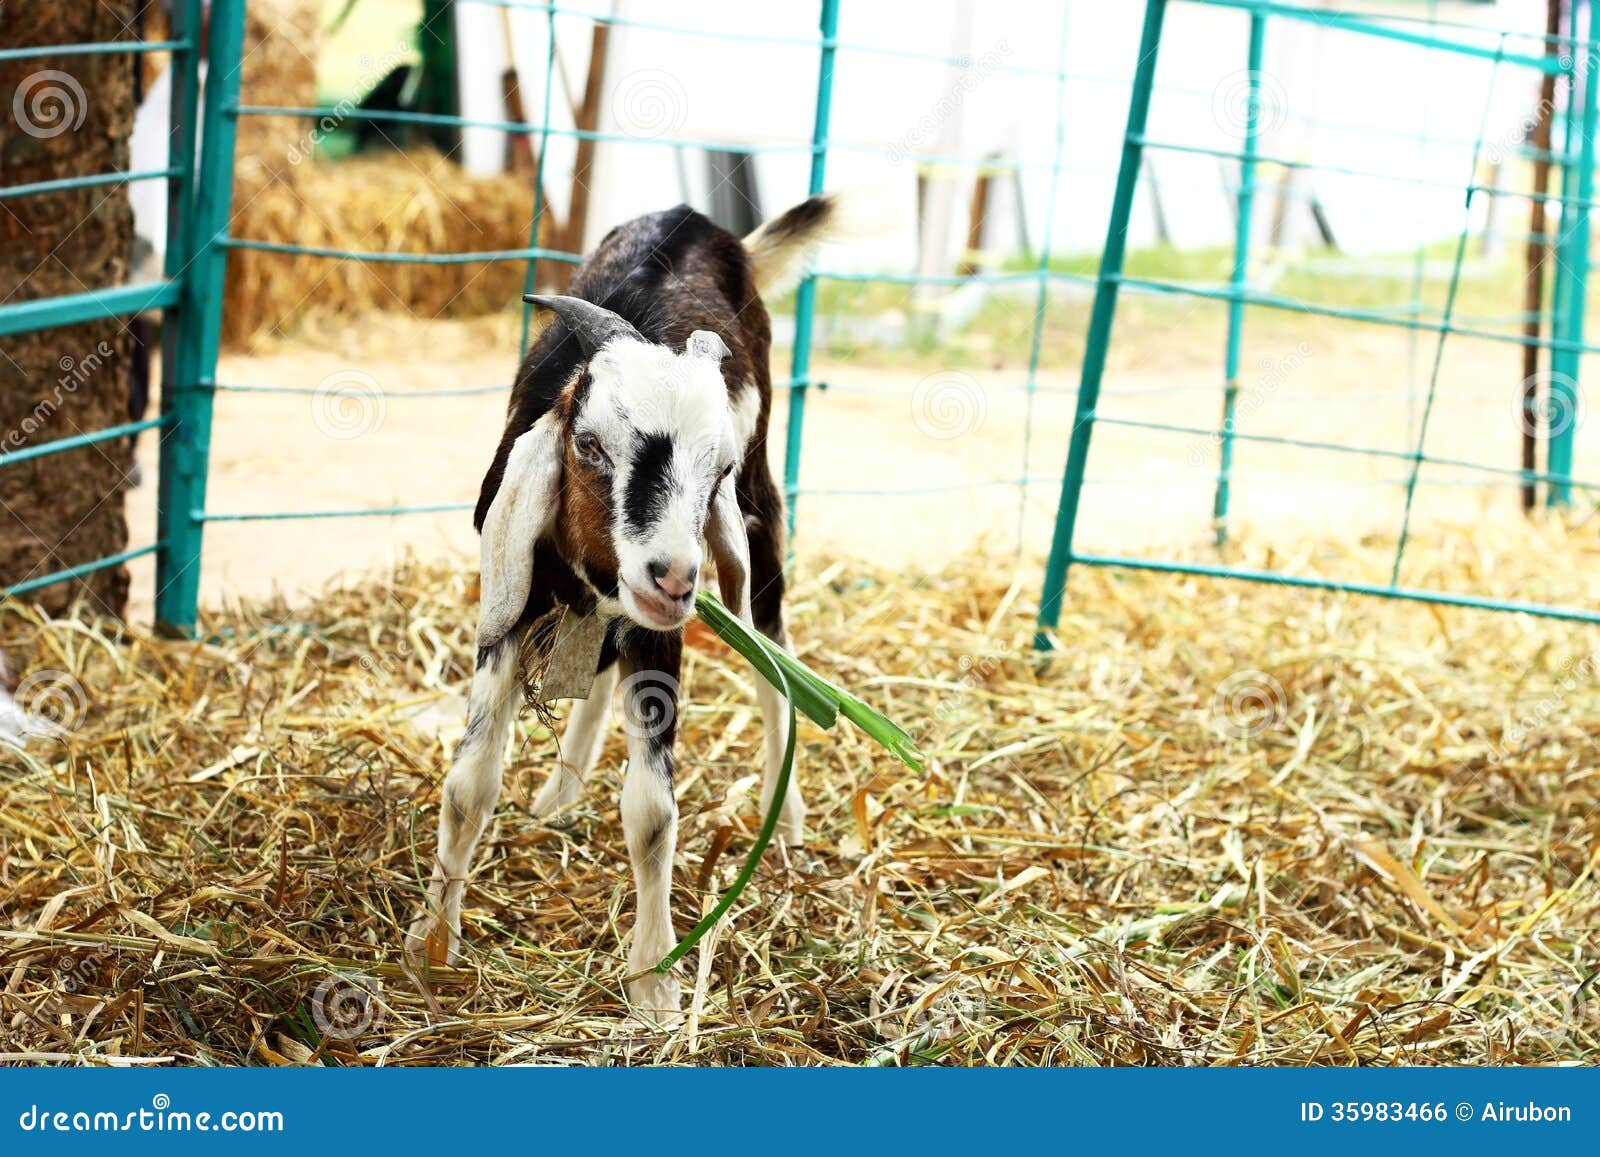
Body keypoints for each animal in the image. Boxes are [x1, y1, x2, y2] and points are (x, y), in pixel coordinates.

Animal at [408, 195, 843, 1015]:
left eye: (717, 468)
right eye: (588, 445)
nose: (674, 577)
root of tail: (704, 223)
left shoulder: (661, 632)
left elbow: (651, 814)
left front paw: (654, 981)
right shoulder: (514, 606)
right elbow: (468, 786)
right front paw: (430, 947)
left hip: (759, 527)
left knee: (772, 655)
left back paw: (790, 819)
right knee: (606, 667)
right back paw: (559, 794)